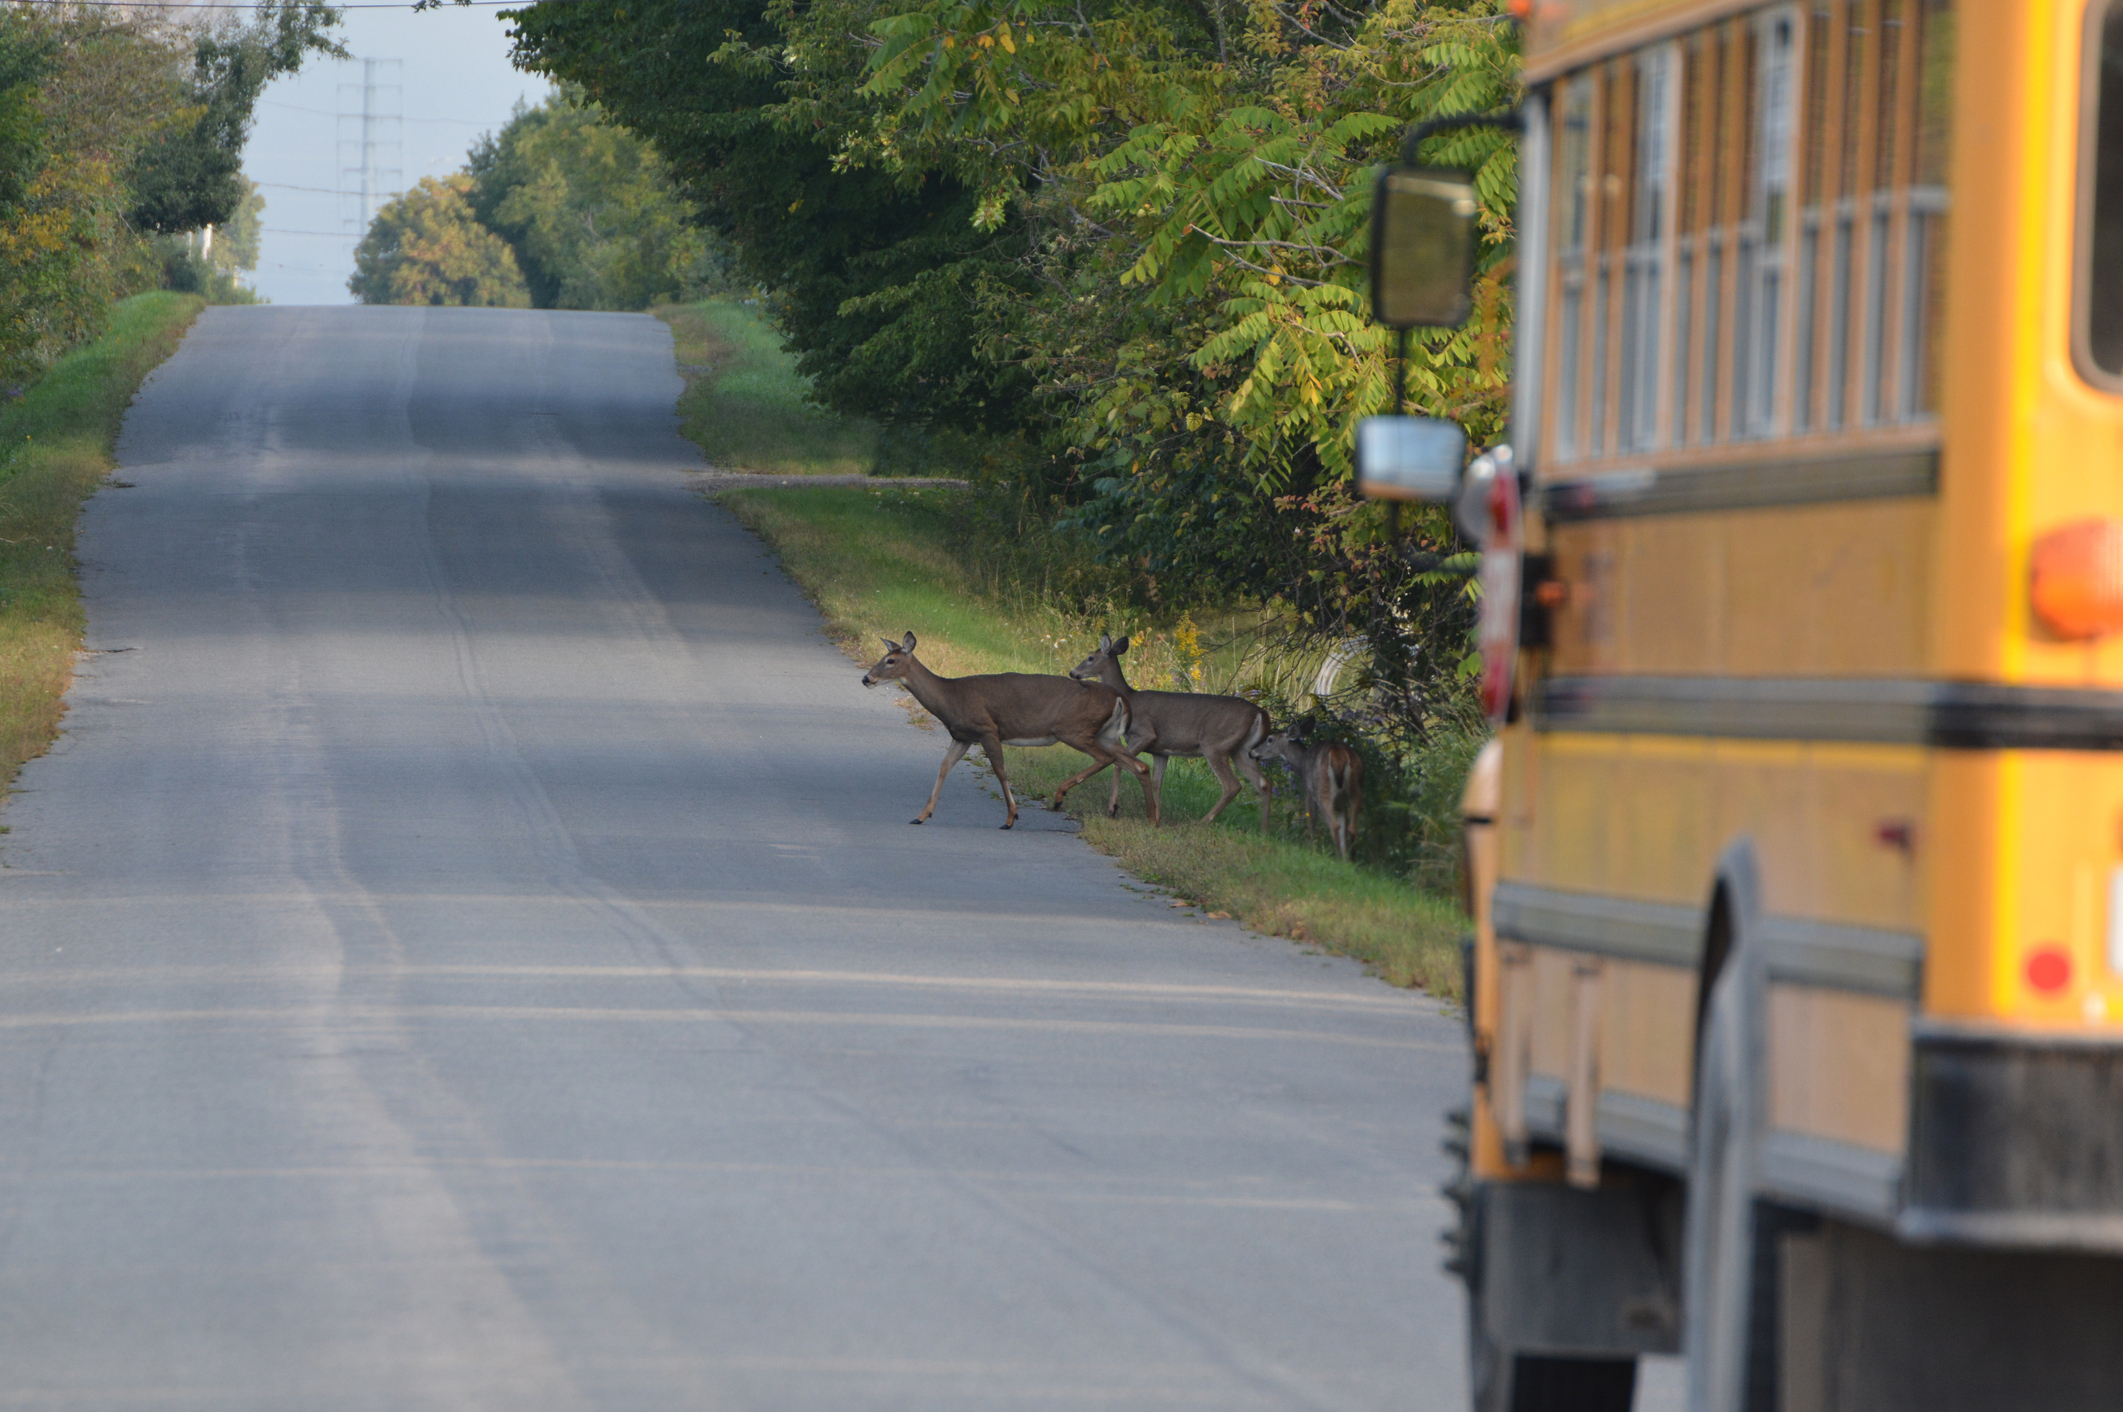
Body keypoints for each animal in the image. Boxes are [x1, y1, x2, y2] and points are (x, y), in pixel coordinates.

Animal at [861, 632, 1160, 830]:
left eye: (890, 661)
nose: (866, 678)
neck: (950, 697)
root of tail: (1119, 697)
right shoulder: (963, 735)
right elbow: (944, 767)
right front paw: (922, 815)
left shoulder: (988, 728)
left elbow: (1000, 770)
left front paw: (1010, 817)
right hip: (1106, 735)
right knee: (1139, 765)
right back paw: (1151, 819)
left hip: (1075, 730)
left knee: (1106, 759)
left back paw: (1059, 797)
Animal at [1061, 634, 1275, 831]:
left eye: (1090, 657)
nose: (1073, 672)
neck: (1129, 698)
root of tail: (1260, 713)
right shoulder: (1161, 751)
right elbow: (1157, 781)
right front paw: (1156, 818)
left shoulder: (1144, 733)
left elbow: (1118, 765)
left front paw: (1113, 808)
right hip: (1241, 749)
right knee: (1264, 783)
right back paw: (1264, 831)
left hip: (1215, 745)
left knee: (1232, 785)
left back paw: (1203, 821)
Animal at [1250, 721, 1363, 862]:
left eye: (1270, 739)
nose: (1252, 752)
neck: (1301, 762)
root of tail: (1339, 755)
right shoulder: (1340, 803)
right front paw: (1345, 860)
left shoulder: (1308, 793)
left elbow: (1311, 822)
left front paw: (1311, 851)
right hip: (1356, 789)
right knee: (1351, 828)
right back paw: (1349, 860)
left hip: (1322, 791)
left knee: (1334, 826)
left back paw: (1337, 859)